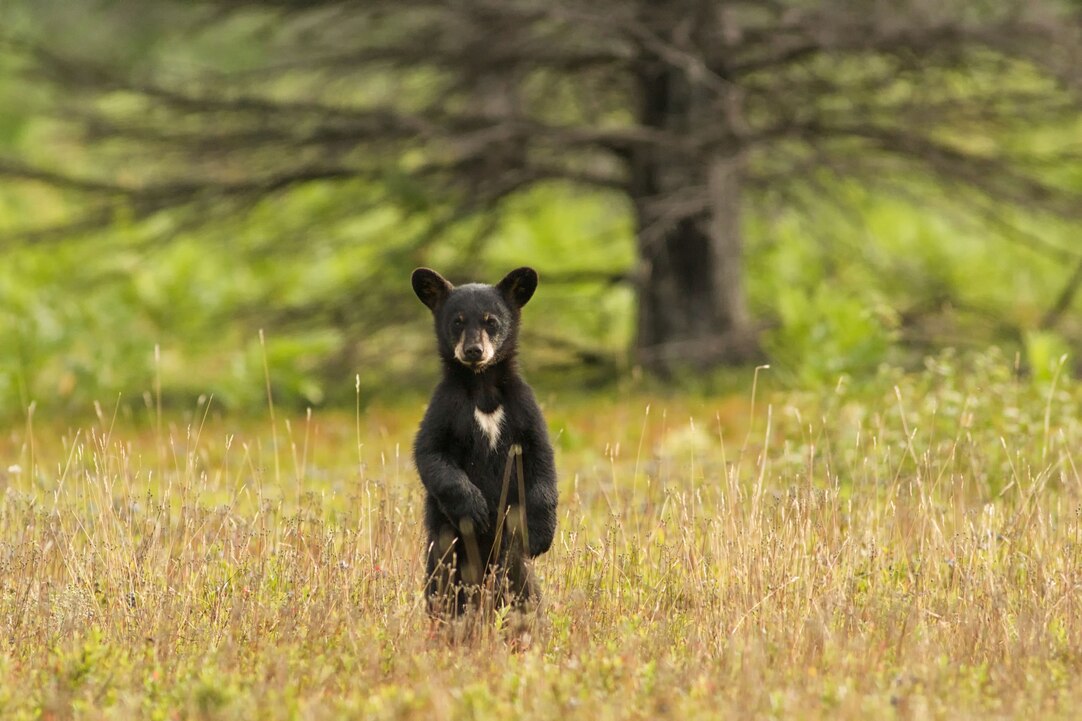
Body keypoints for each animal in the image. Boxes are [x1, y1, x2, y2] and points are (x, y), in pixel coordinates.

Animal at [411, 266, 558, 618]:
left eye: (491, 321)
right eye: (457, 321)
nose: (473, 351)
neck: (483, 387)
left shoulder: (523, 408)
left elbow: (541, 458)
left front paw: (542, 533)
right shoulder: (445, 407)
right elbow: (431, 453)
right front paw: (475, 508)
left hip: (512, 558)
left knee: (523, 589)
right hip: (445, 547)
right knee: (442, 586)